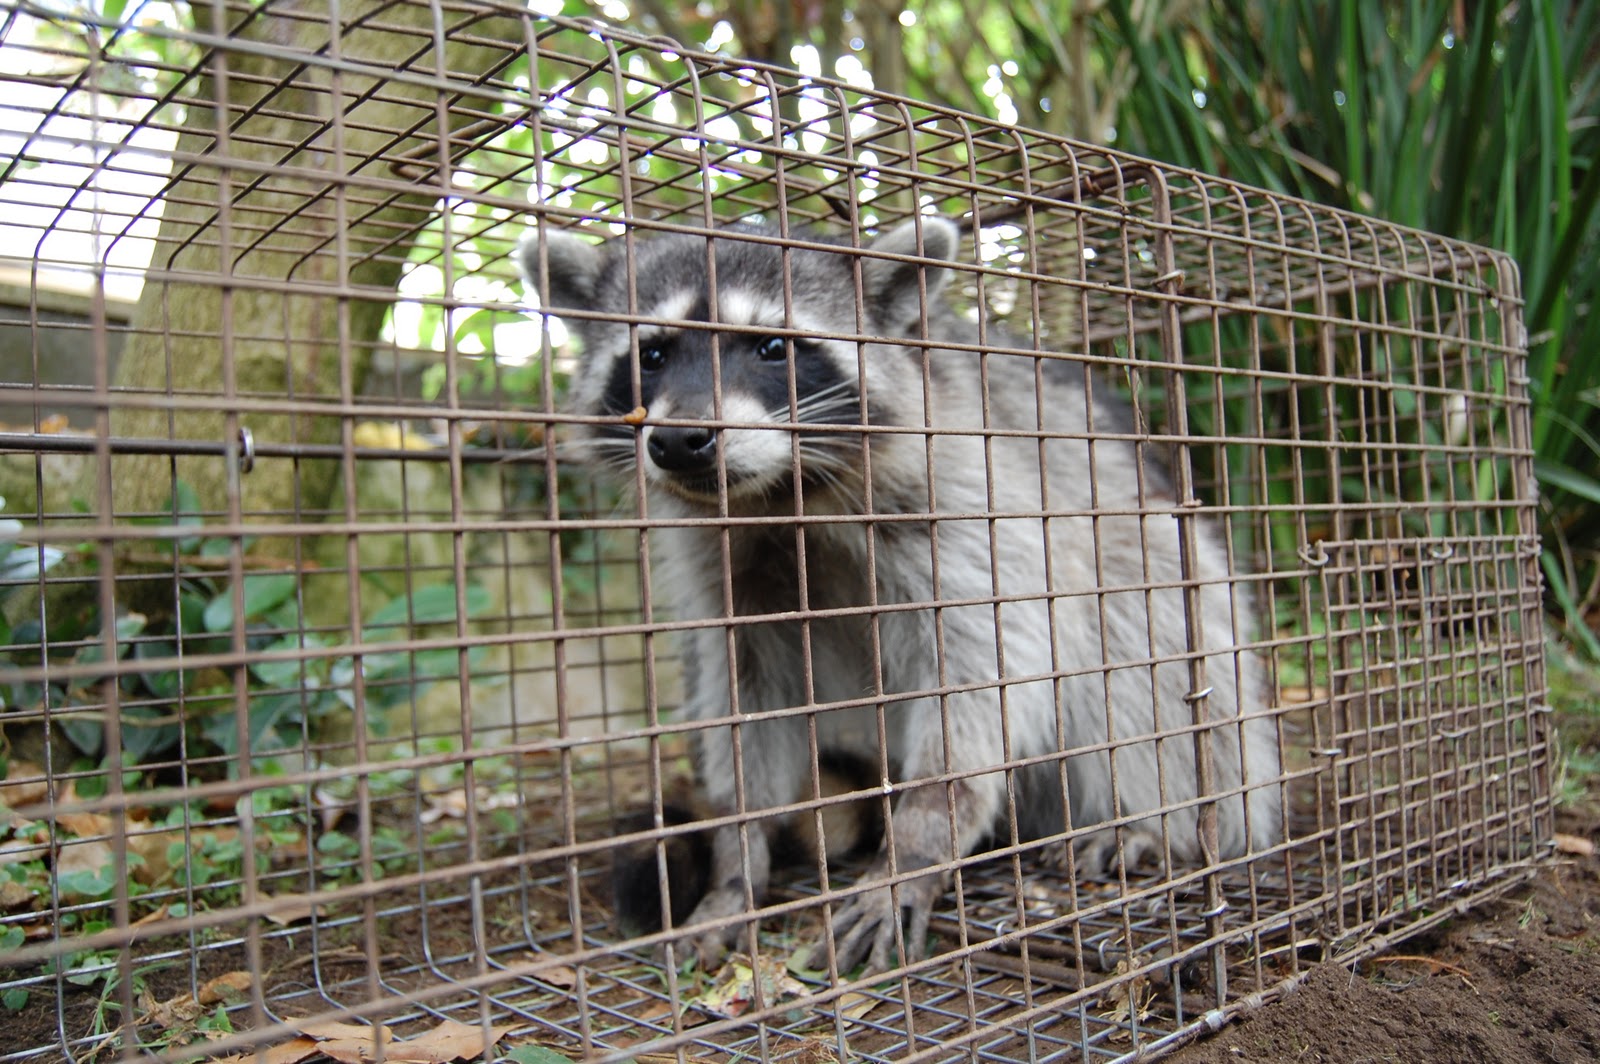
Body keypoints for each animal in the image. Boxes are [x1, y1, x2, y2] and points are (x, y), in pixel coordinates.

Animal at [519, 216, 1282, 974]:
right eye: (651, 354)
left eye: (772, 348)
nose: (679, 441)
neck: (782, 493)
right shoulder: (726, 564)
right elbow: (748, 694)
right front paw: (739, 862)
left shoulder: (965, 487)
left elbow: (987, 664)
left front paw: (918, 841)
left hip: (1145, 545)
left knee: (1149, 650)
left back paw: (1158, 822)